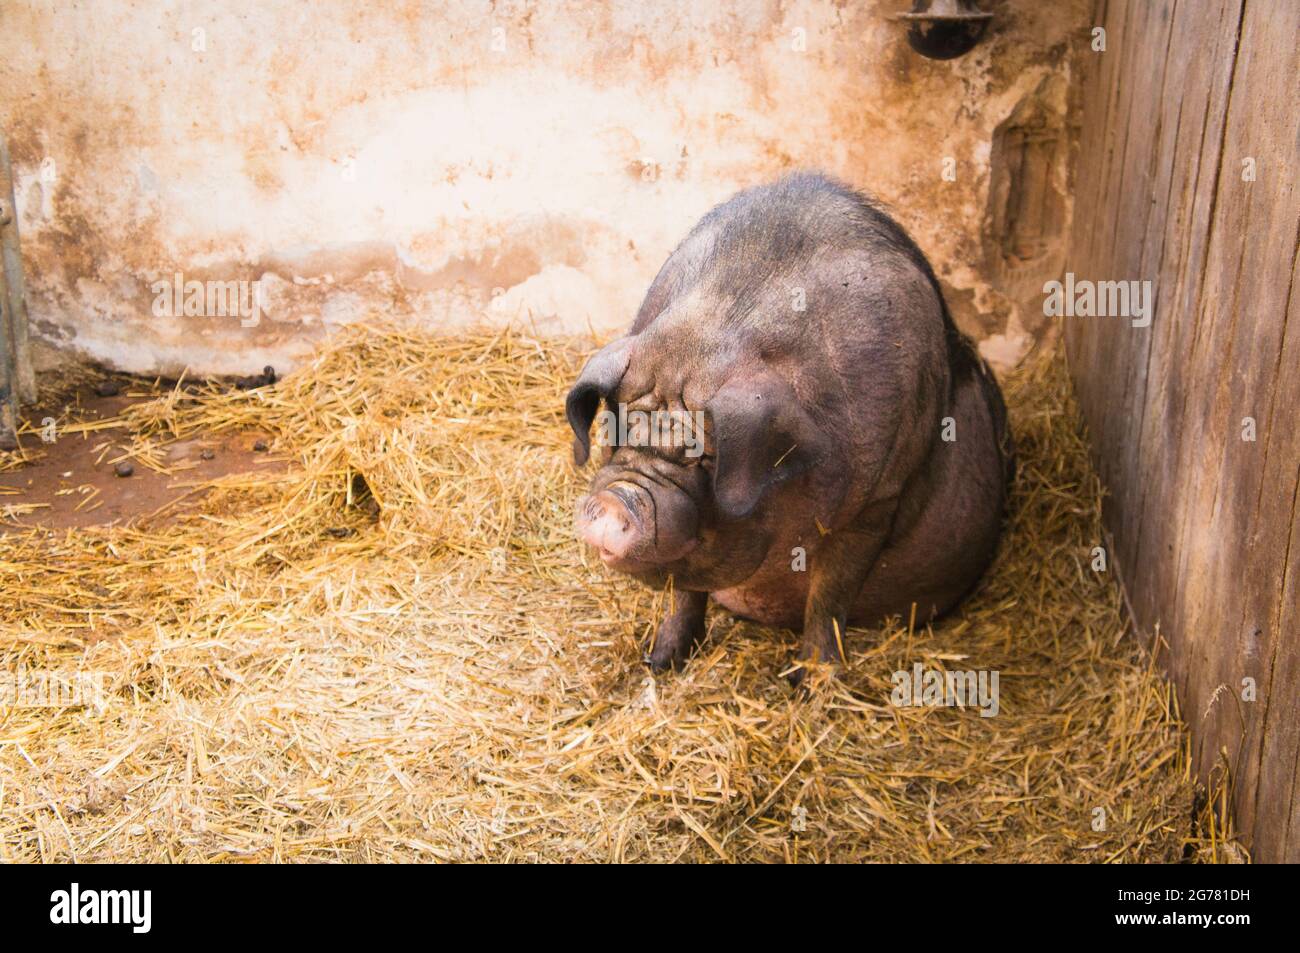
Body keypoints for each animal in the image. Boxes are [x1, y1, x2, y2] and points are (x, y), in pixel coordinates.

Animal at [567, 172, 1014, 685]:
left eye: (707, 456)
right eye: (615, 425)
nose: (613, 499)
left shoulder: (879, 499)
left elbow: (828, 599)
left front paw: (811, 685)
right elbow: (685, 592)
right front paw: (659, 662)